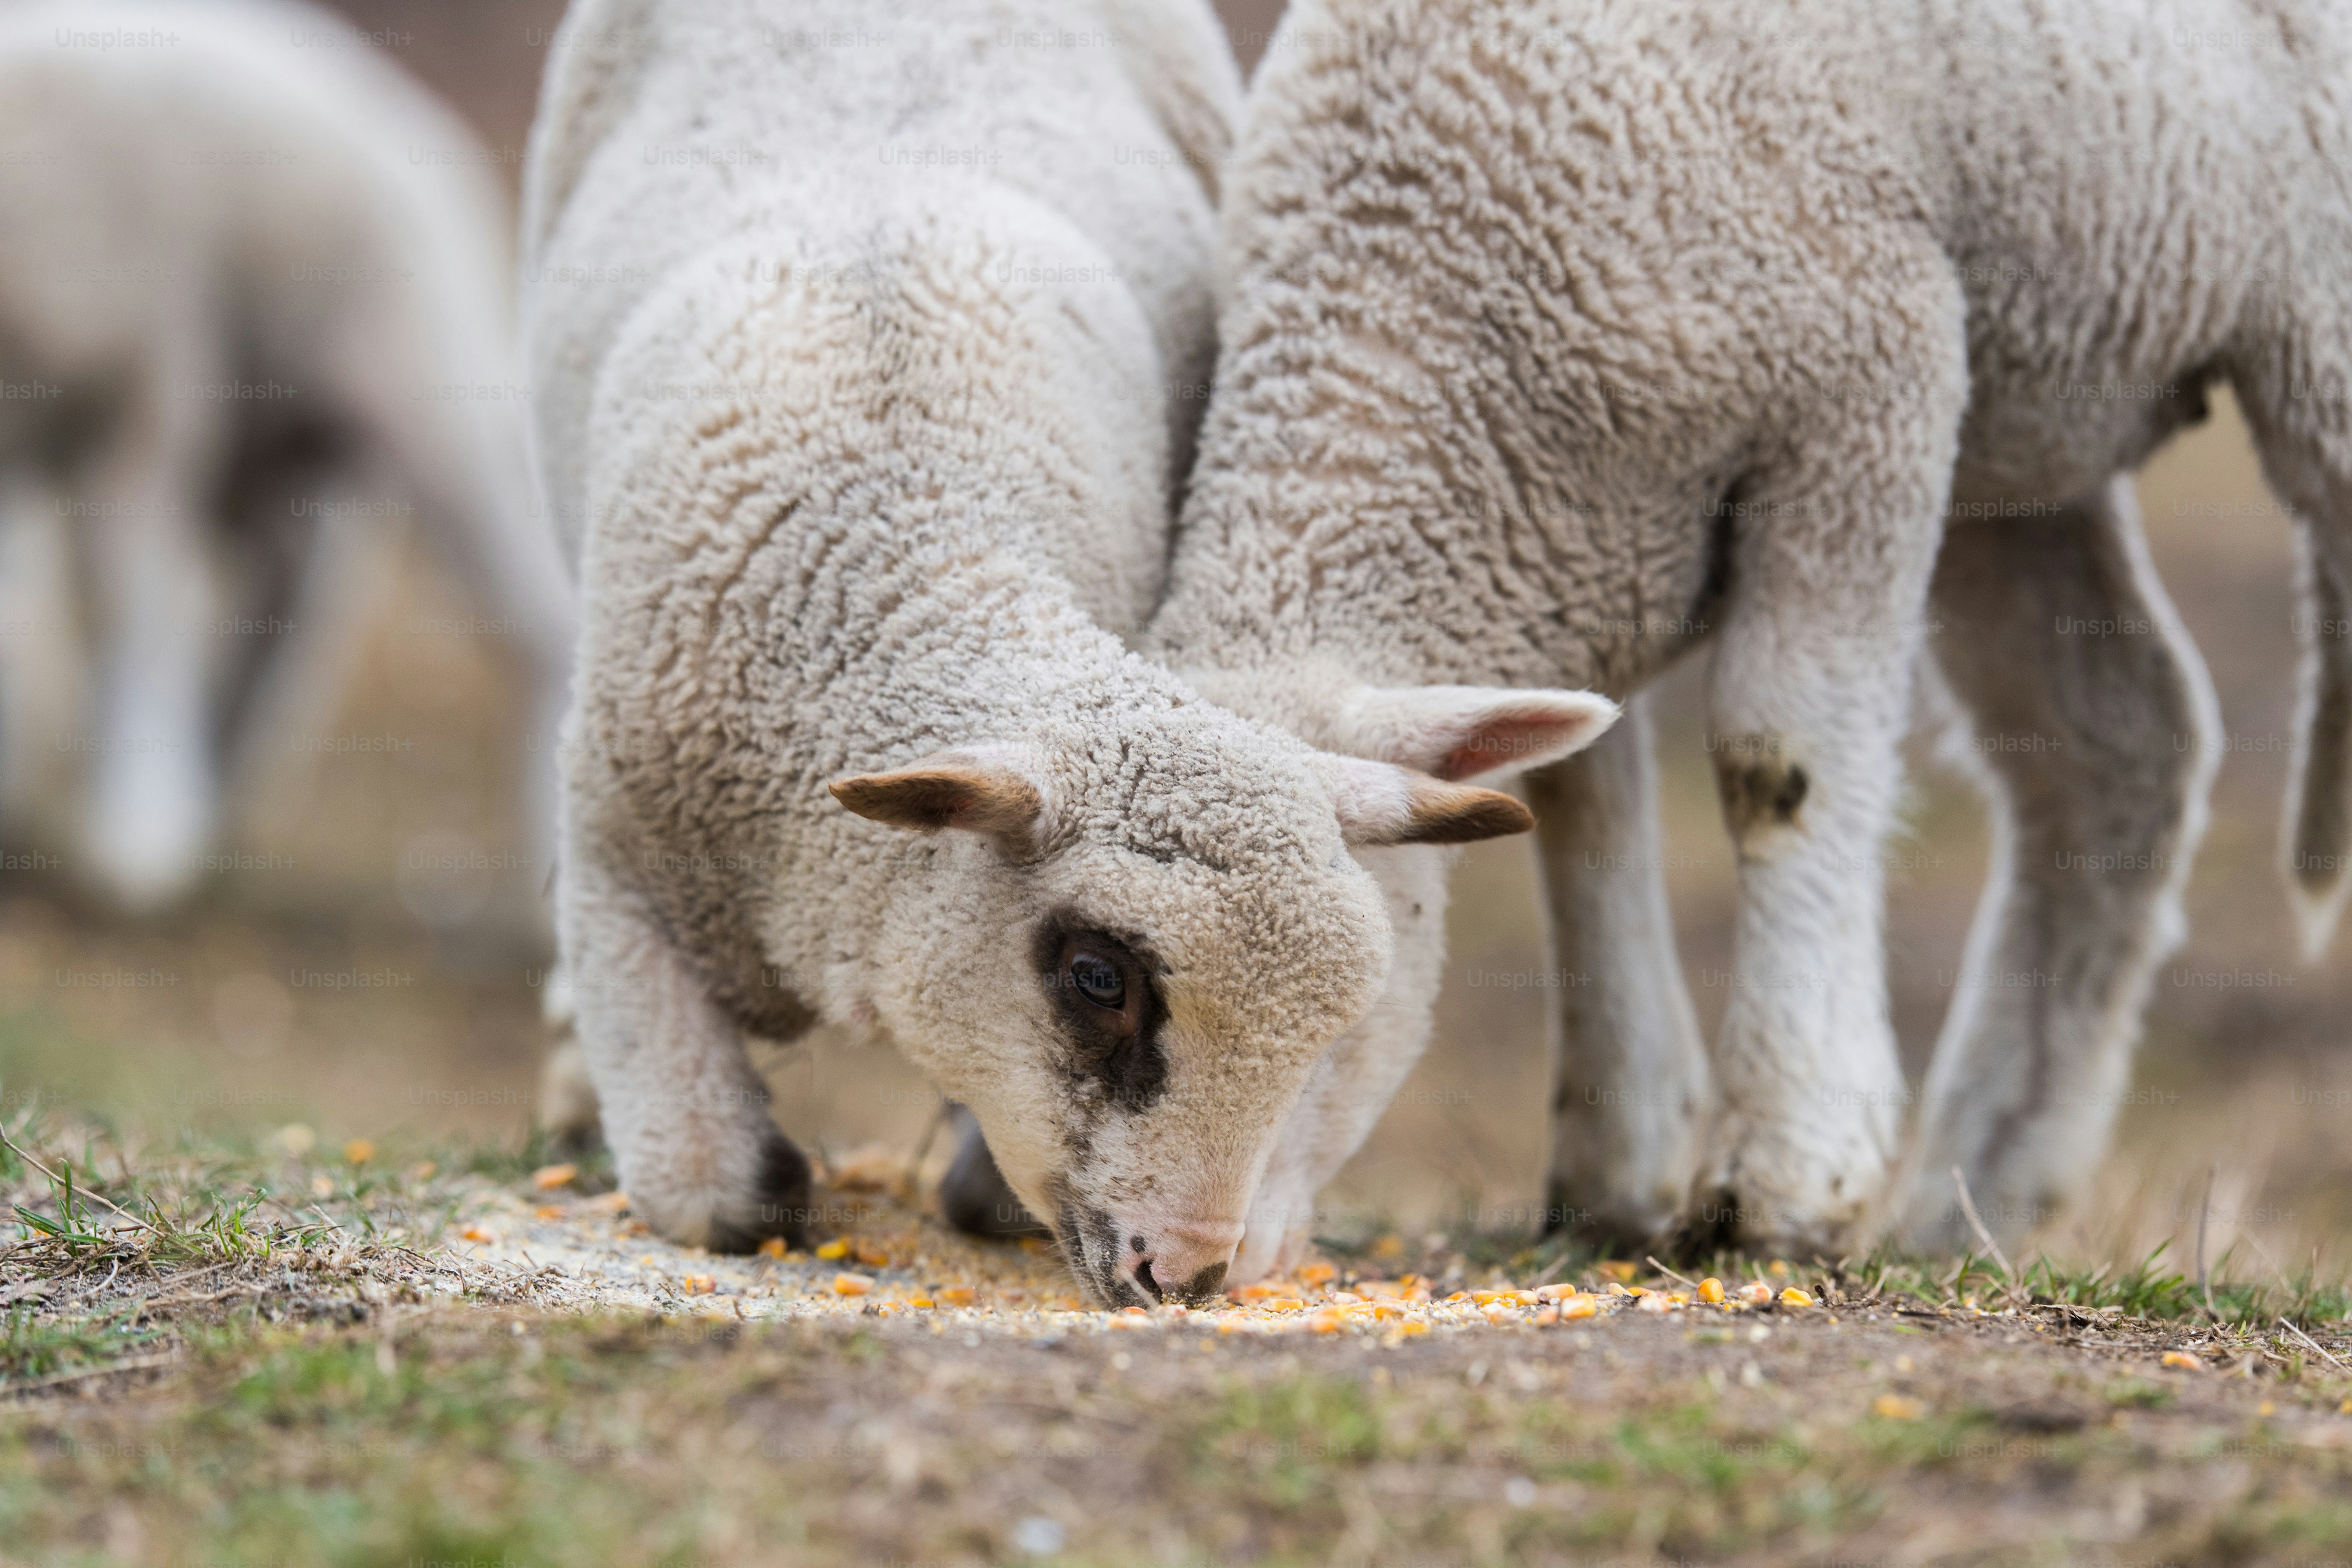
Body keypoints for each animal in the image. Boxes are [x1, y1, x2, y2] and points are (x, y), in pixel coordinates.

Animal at [0, 0, 574, 917]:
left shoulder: (153, 381)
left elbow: (126, 603)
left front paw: (132, 842)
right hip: (269, 440)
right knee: (290, 587)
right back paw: (221, 779)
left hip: (426, 383)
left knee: (534, 610)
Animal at [520, 0, 1618, 1304]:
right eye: (1099, 978)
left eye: (1331, 1031)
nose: (1184, 1273)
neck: (909, 536)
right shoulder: (611, 869)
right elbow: (718, 1193)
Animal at [1149, 0, 2347, 1263]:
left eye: (1348, 982)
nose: (1195, 1263)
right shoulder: (1579, 526)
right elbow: (1580, 805)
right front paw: (1614, 1159)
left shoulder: (1866, 385)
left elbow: (1782, 758)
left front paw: (1784, 1174)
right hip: (2021, 406)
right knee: (2115, 744)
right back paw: (1974, 1198)